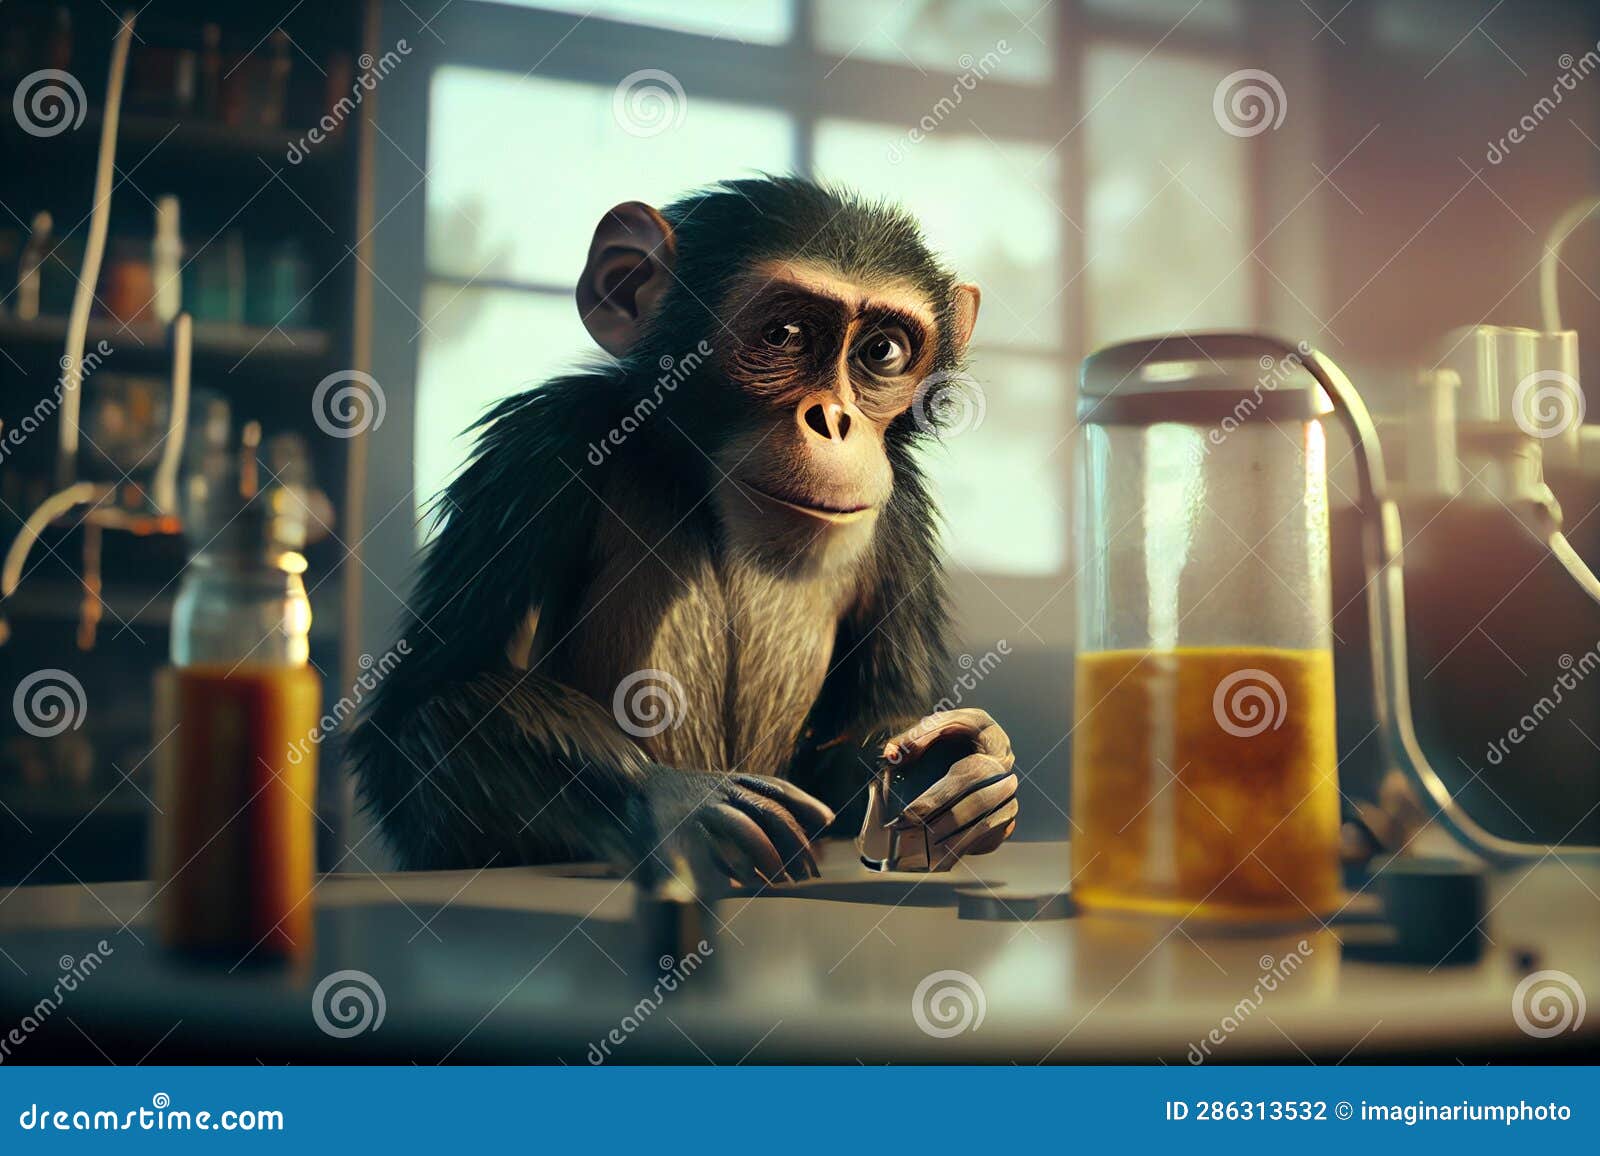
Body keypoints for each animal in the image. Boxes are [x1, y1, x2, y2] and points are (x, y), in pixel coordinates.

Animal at [347, 176, 1019, 886]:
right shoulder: (535, 453)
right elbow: (423, 706)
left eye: (882, 352)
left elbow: (878, 719)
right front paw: (678, 799)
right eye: (783, 333)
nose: (833, 419)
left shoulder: (903, 516)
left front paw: (967, 771)